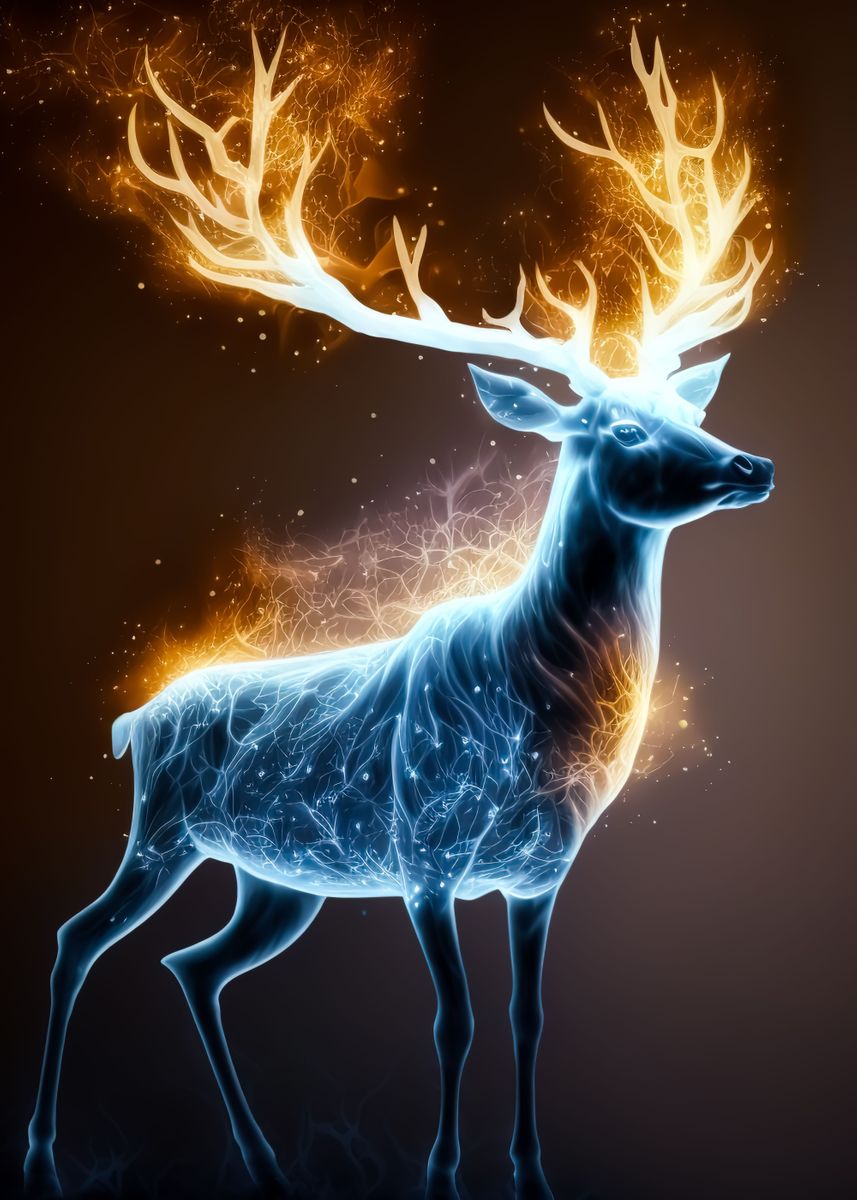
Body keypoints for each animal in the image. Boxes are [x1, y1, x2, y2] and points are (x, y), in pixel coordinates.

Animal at [25, 29, 775, 1200]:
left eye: (682, 407)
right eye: (616, 425)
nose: (750, 465)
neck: (540, 715)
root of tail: (131, 721)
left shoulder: (541, 871)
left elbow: (527, 1020)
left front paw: (530, 1176)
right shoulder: (425, 849)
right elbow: (449, 1022)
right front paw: (438, 1178)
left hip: (279, 879)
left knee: (192, 965)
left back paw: (263, 1163)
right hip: (166, 825)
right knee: (76, 938)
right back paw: (45, 1155)